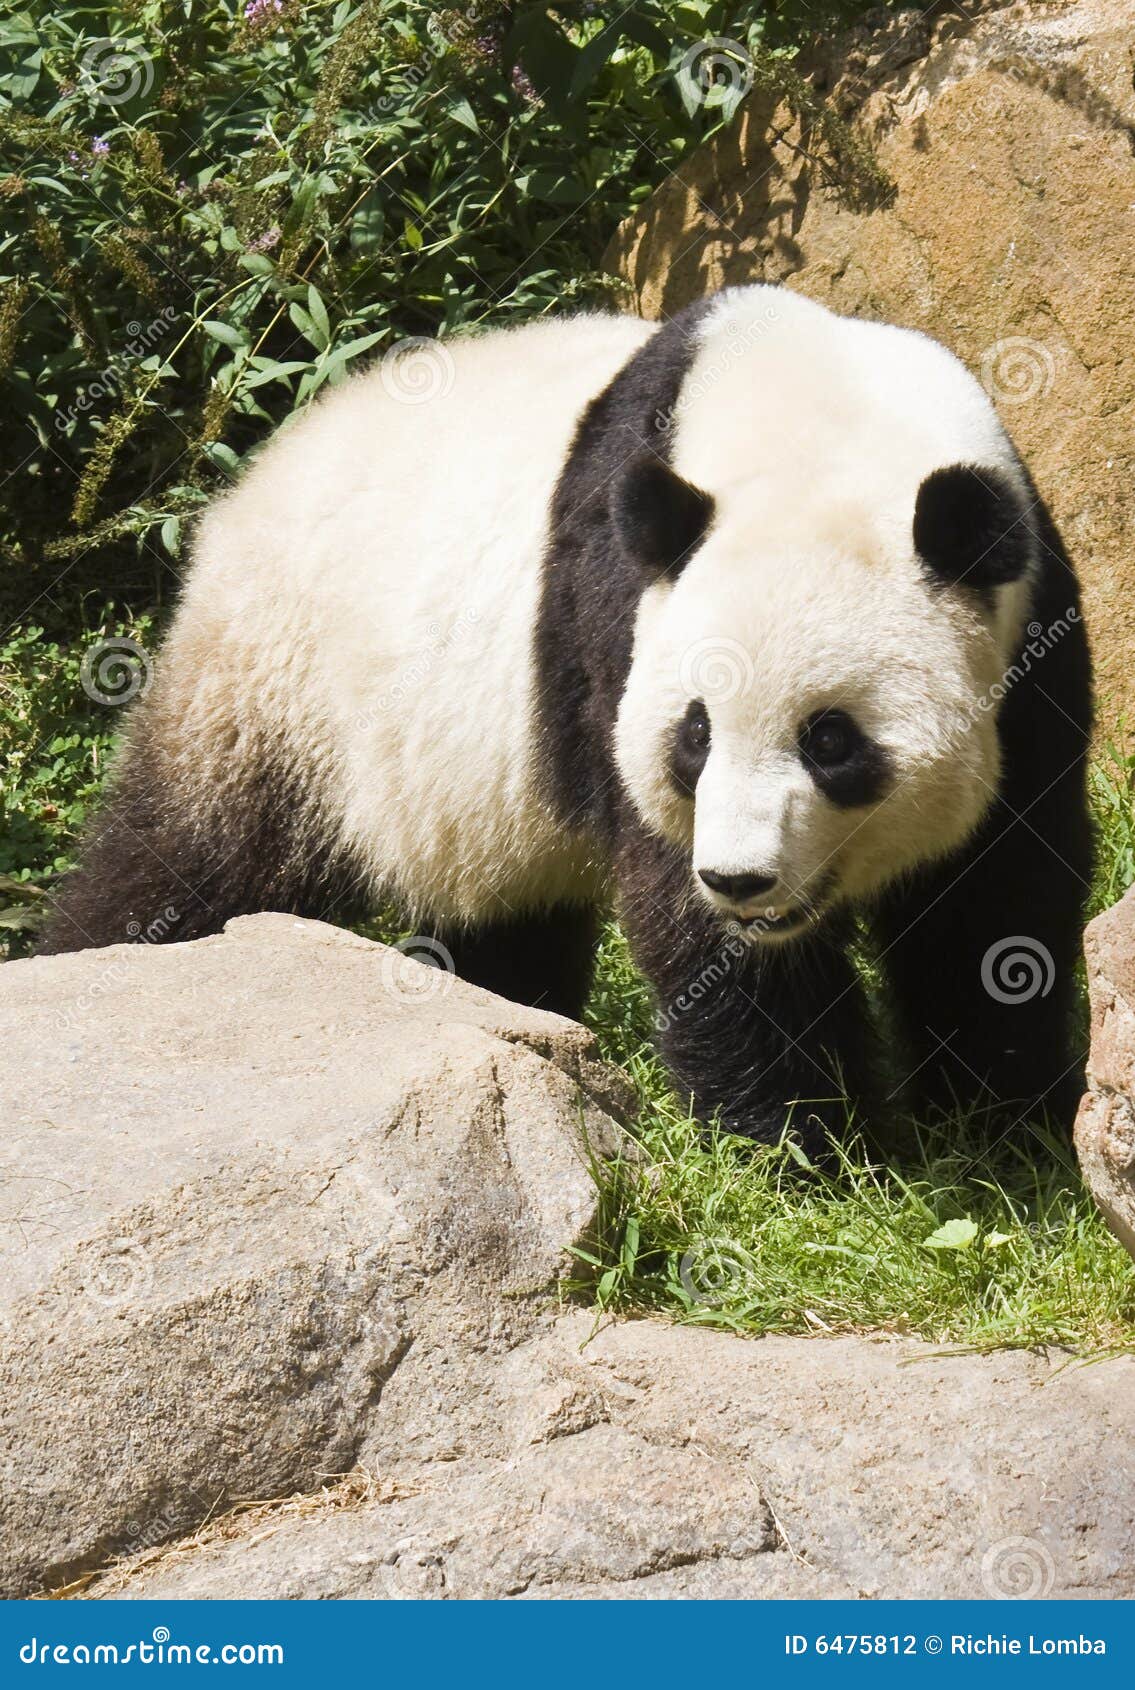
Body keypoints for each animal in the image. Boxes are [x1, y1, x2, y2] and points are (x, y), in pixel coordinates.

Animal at [41, 285, 1093, 1150]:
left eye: (830, 739)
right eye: (694, 734)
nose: (742, 880)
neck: (821, 428)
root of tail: (247, 485)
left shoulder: (1031, 635)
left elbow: (995, 894)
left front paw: (1003, 1126)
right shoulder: (620, 621)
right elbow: (685, 912)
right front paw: (811, 1146)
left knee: (501, 914)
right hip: (277, 682)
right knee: (187, 857)